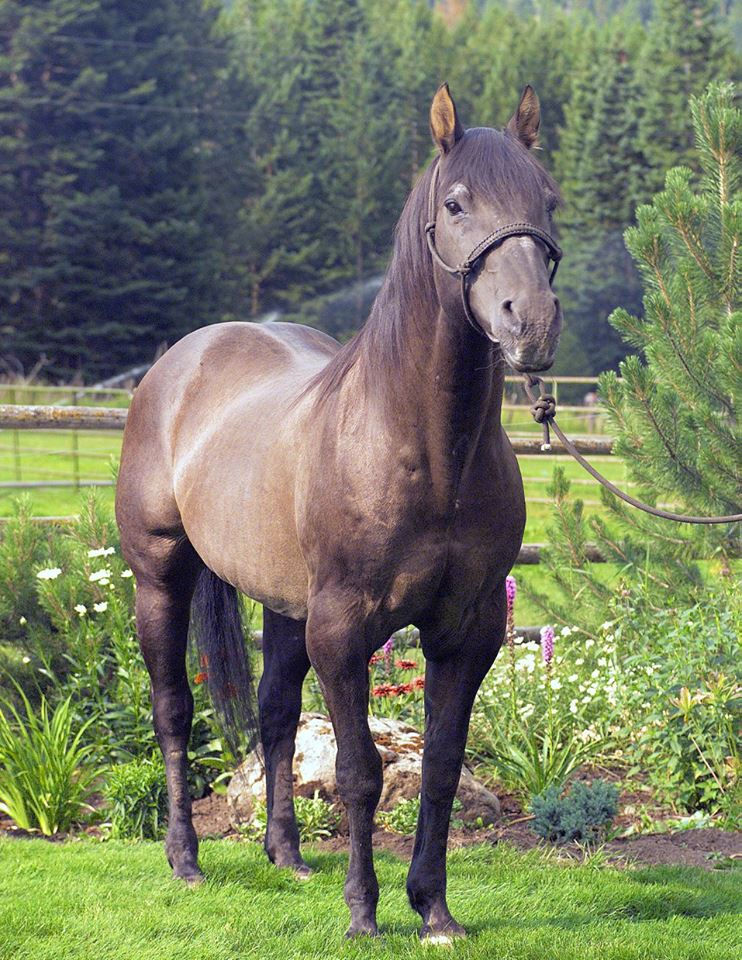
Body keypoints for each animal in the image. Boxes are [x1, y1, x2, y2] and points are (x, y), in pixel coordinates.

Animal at [115, 83, 562, 942]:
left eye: (548, 200)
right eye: (456, 203)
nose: (531, 322)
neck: (425, 450)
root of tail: (180, 363)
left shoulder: (468, 629)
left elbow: (442, 765)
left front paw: (434, 910)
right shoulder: (343, 628)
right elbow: (360, 770)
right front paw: (363, 911)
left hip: (286, 606)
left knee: (276, 714)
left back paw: (286, 855)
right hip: (161, 576)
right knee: (174, 710)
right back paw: (185, 861)